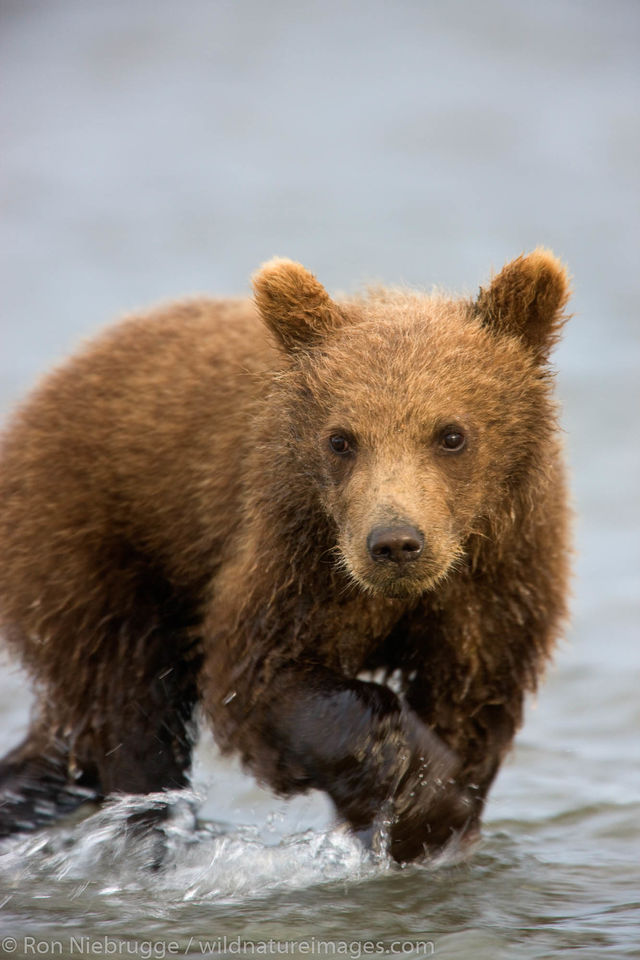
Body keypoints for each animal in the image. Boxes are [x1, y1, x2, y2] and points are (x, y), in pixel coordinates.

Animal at [0, 250, 571, 862]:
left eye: (451, 434)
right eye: (341, 439)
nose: (395, 542)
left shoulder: (495, 582)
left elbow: (471, 699)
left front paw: (428, 814)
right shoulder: (296, 555)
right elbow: (262, 679)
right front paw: (415, 788)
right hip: (93, 538)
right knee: (130, 705)